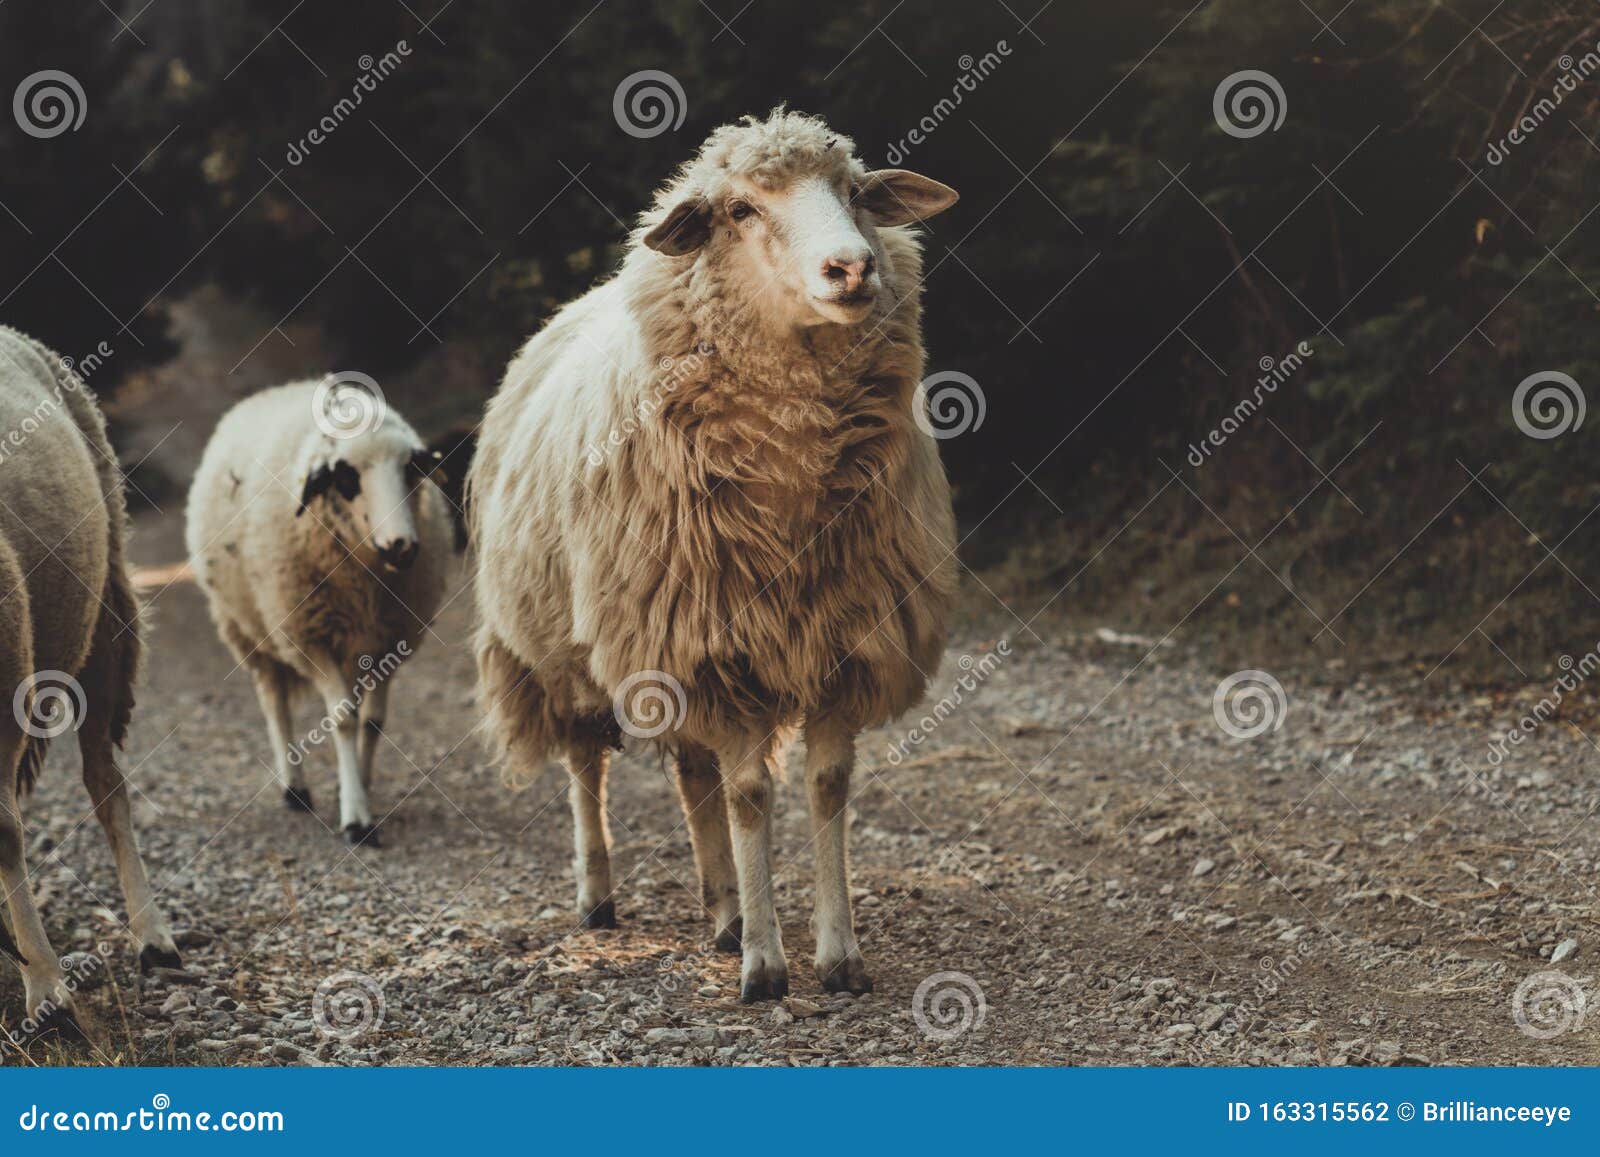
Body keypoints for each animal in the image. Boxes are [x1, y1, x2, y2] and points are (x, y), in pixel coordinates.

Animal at [185, 378, 453, 847]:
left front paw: (361, 786)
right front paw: (356, 818)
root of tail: (276, 388)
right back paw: (294, 788)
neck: (368, 580)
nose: (402, 546)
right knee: (275, 703)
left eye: (409, 469)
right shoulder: (311, 637)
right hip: (248, 630)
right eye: (347, 476)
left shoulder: (390, 639)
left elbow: (373, 721)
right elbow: (343, 719)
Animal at [469, 109, 960, 1001]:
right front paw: (767, 964)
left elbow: (823, 788)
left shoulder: (838, 640)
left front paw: (837, 953)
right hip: (567, 651)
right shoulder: (720, 652)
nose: (854, 267)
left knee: (692, 777)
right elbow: (750, 796)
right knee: (586, 764)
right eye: (739, 210)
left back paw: (722, 912)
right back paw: (600, 895)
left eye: (854, 191)